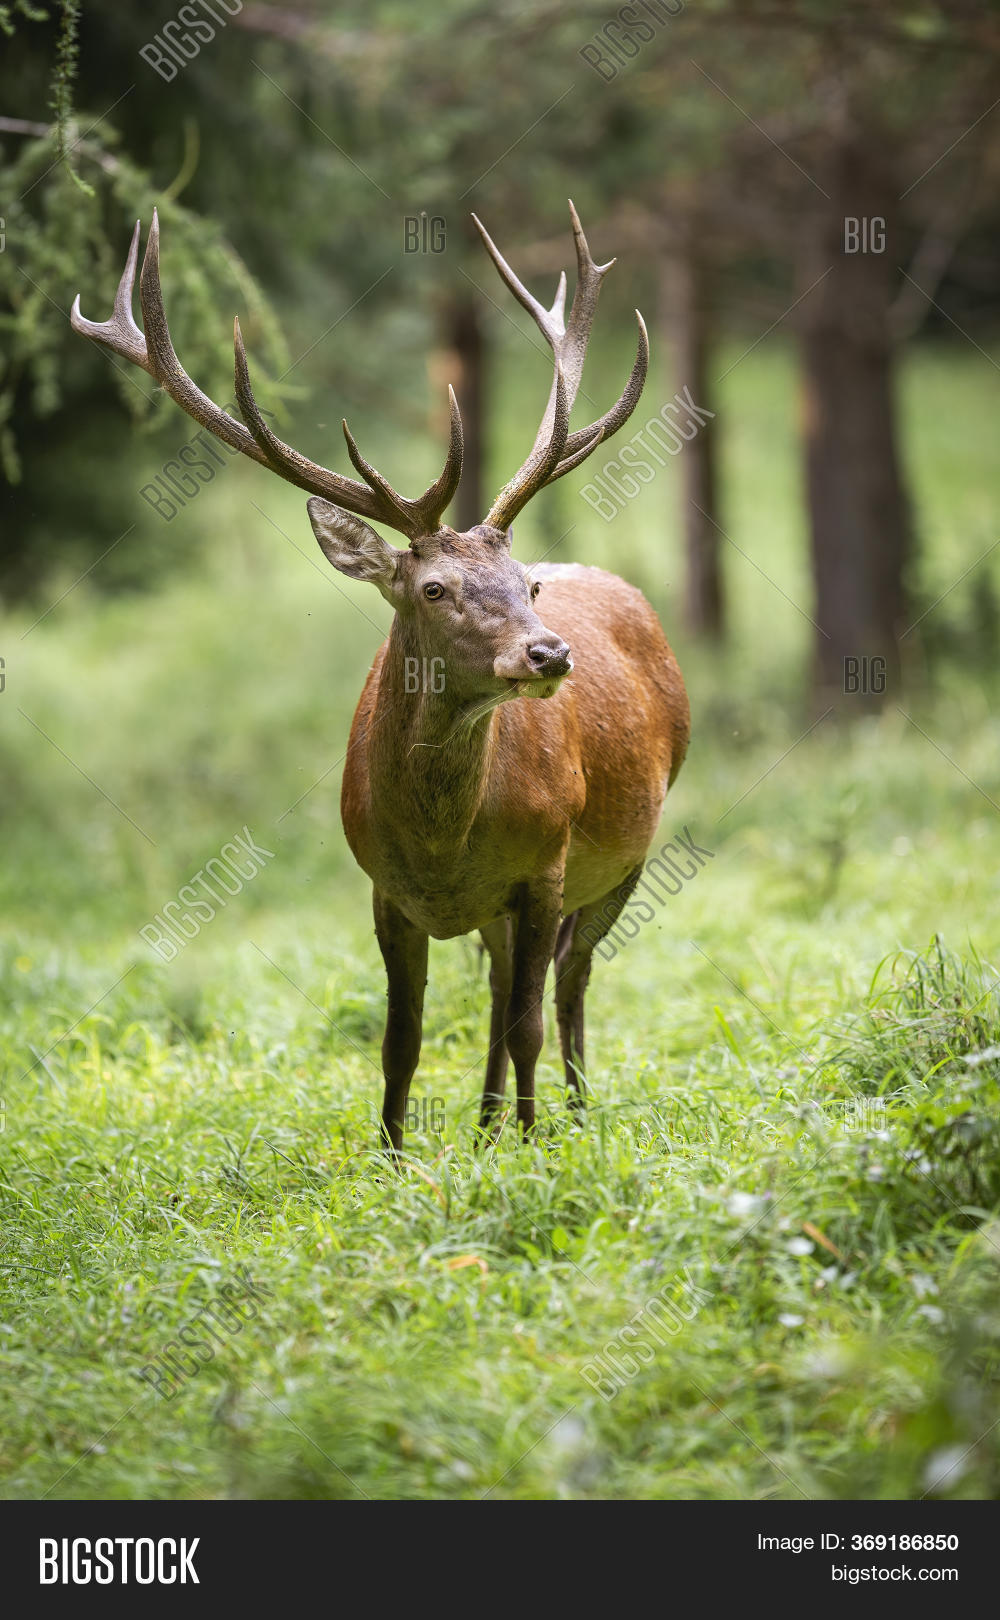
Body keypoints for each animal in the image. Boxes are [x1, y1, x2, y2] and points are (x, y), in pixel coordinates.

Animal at [72, 202, 690, 1155]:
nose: (549, 654)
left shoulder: (545, 867)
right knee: (507, 989)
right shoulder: (384, 890)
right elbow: (402, 1040)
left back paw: (570, 1114)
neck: (442, 847)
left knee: (569, 984)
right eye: (433, 588)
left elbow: (527, 1024)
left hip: (628, 849)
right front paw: (399, 1159)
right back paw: (484, 1126)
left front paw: (533, 1149)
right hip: (512, 908)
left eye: (528, 584)